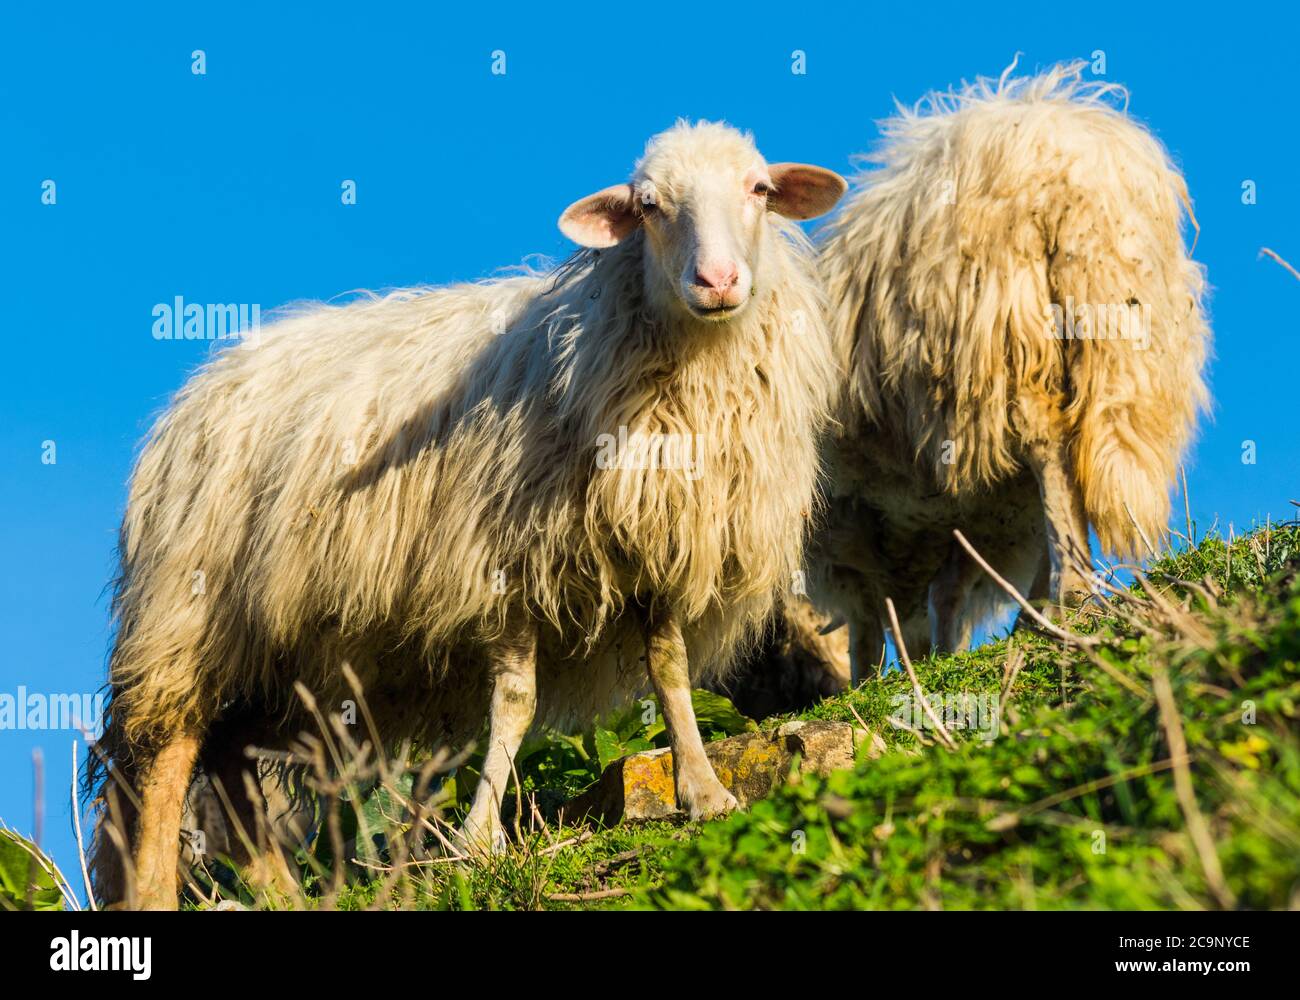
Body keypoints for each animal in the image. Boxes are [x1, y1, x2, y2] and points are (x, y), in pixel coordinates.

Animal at [88, 120, 847, 908]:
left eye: (759, 190)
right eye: (648, 206)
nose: (718, 281)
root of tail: (198, 388)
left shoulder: (660, 549)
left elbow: (670, 674)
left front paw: (703, 792)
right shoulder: (503, 561)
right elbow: (514, 702)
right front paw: (481, 838)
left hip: (277, 638)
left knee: (234, 765)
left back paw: (282, 894)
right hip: (191, 612)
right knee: (166, 754)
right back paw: (154, 893)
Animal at [811, 61, 1210, 680]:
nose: (919, 654)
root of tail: (1073, 166)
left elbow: (876, 614)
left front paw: (869, 677)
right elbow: (942, 589)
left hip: (1007, 325)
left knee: (1049, 444)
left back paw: (1066, 595)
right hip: (1121, 336)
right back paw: (1051, 601)